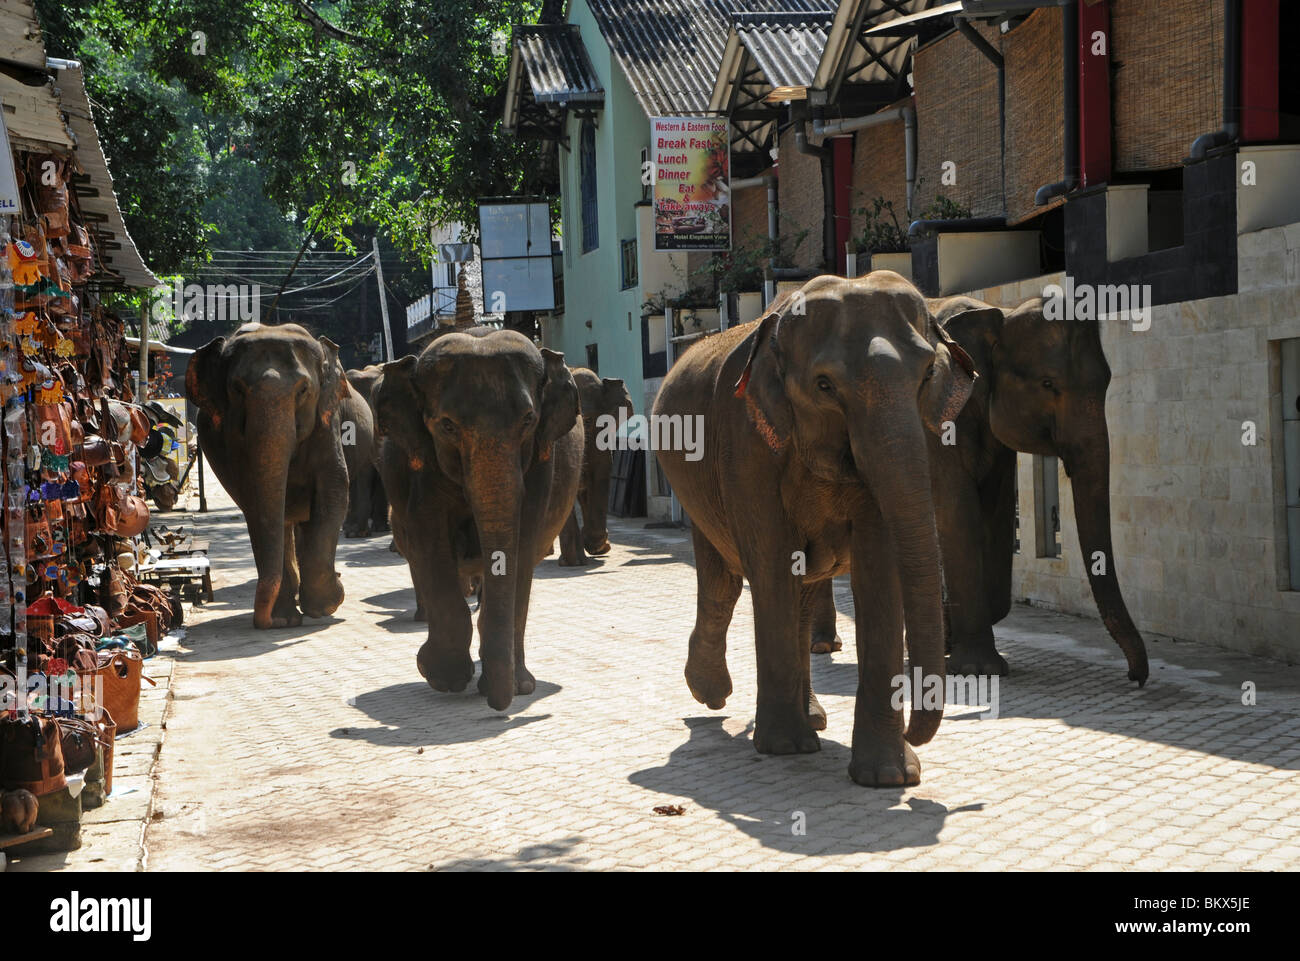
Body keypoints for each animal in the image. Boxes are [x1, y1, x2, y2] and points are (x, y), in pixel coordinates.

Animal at [186, 322, 351, 629]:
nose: (266, 621)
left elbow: (334, 491)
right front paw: (285, 619)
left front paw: (327, 604)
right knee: (279, 520)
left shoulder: (327, 422)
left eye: (303, 390)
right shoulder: (232, 440)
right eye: (237, 389)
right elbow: (255, 506)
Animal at [374, 329, 583, 711]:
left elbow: (523, 547)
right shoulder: (422, 465)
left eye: (528, 420)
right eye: (447, 425)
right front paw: (445, 679)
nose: (498, 707)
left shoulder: (541, 462)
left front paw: (516, 687)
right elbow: (432, 542)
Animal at [653, 272, 976, 786]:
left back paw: (814, 718)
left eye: (928, 375)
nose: (916, 732)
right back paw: (713, 694)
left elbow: (880, 570)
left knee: (798, 593)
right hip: (698, 489)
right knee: (725, 582)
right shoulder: (746, 442)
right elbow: (771, 566)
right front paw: (785, 748)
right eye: (824, 385)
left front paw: (890, 776)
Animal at [921, 295, 1149, 683]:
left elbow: (994, 512)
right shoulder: (939, 416)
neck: (997, 313)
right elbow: (956, 510)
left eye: (1107, 382)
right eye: (1047, 384)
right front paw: (977, 670)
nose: (1137, 678)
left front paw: (958, 641)